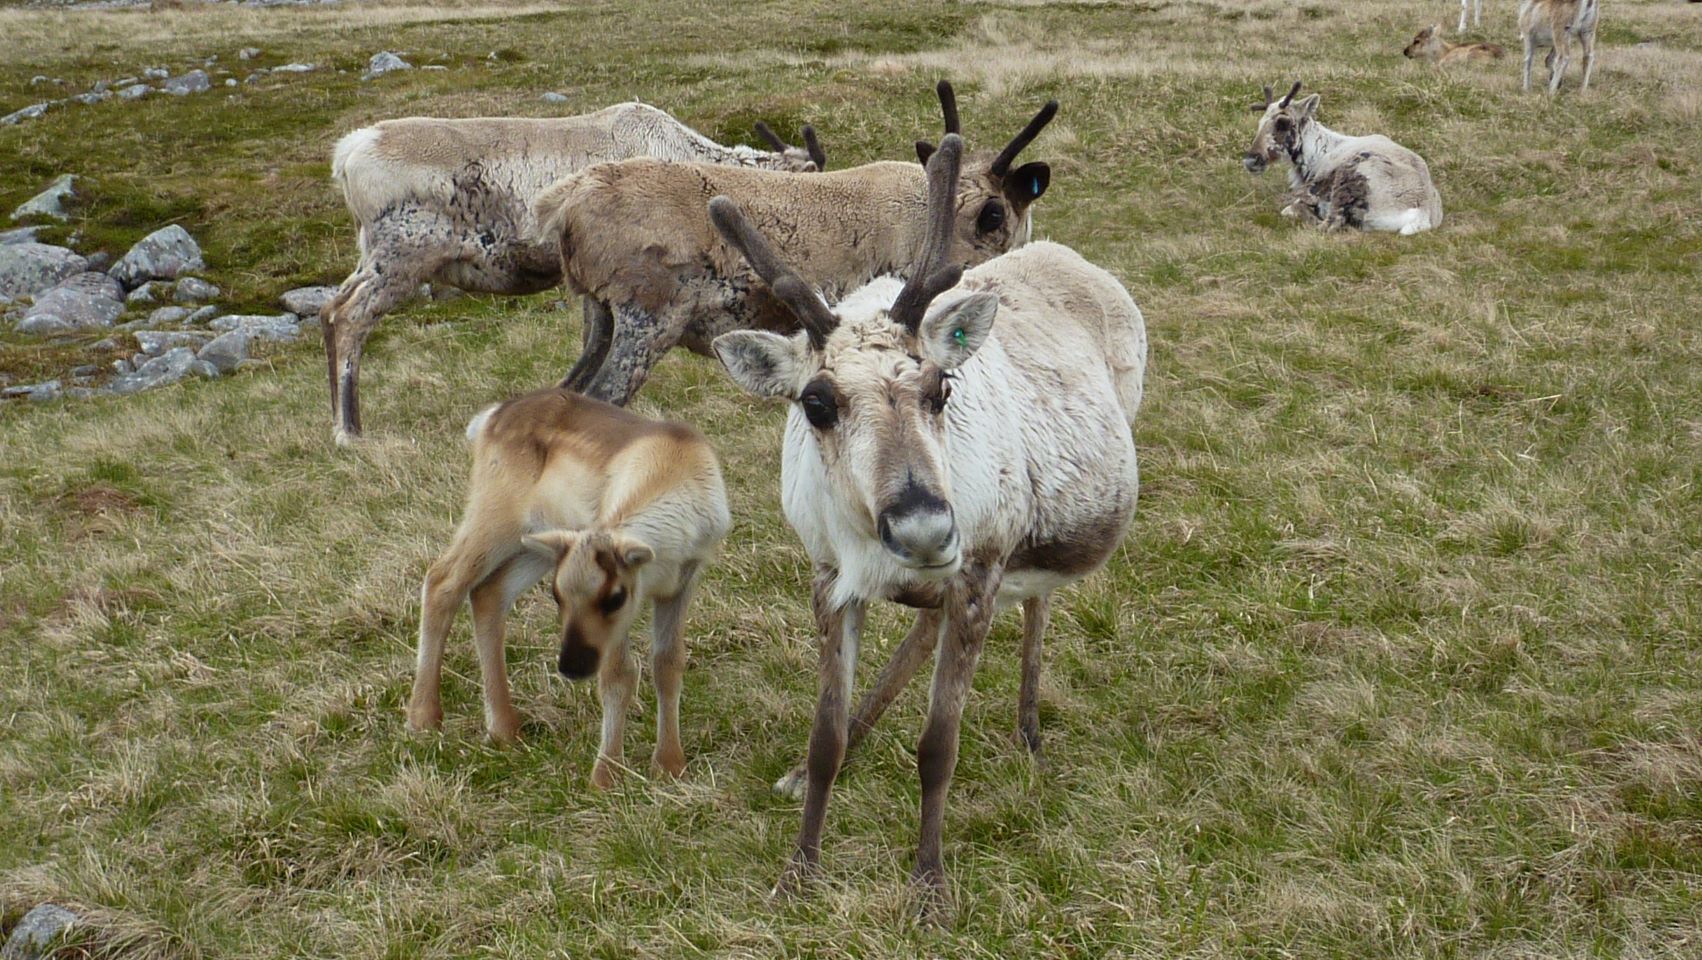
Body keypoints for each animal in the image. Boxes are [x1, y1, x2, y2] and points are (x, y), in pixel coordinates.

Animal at [321, 101, 825, 444]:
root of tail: (347, 153)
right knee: (350, 317)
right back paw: (348, 430)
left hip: (373, 257)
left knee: (330, 308)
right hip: (402, 257)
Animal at [407, 386, 731, 790]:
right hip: (495, 521)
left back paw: (504, 729)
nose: (571, 666)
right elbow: (618, 675)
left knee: (488, 593)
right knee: (443, 581)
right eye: (557, 596)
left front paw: (670, 766)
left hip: (538, 544)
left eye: (615, 597)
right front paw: (605, 776)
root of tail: (493, 415)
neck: (674, 468)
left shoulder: (683, 581)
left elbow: (668, 664)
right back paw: (423, 718)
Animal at [706, 133, 1146, 919]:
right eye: (815, 402)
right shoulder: (829, 578)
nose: (923, 525)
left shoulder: (979, 569)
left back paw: (1029, 726)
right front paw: (799, 868)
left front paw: (929, 885)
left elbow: (940, 745)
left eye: (942, 387)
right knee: (926, 626)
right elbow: (822, 737)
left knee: (1038, 602)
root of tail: (1072, 257)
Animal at [1244, 82, 1443, 236]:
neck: (1318, 154)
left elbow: (1291, 207)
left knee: (1328, 225)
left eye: (1283, 122)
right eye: (1261, 121)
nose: (1251, 160)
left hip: (1350, 179)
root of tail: (1422, 214)